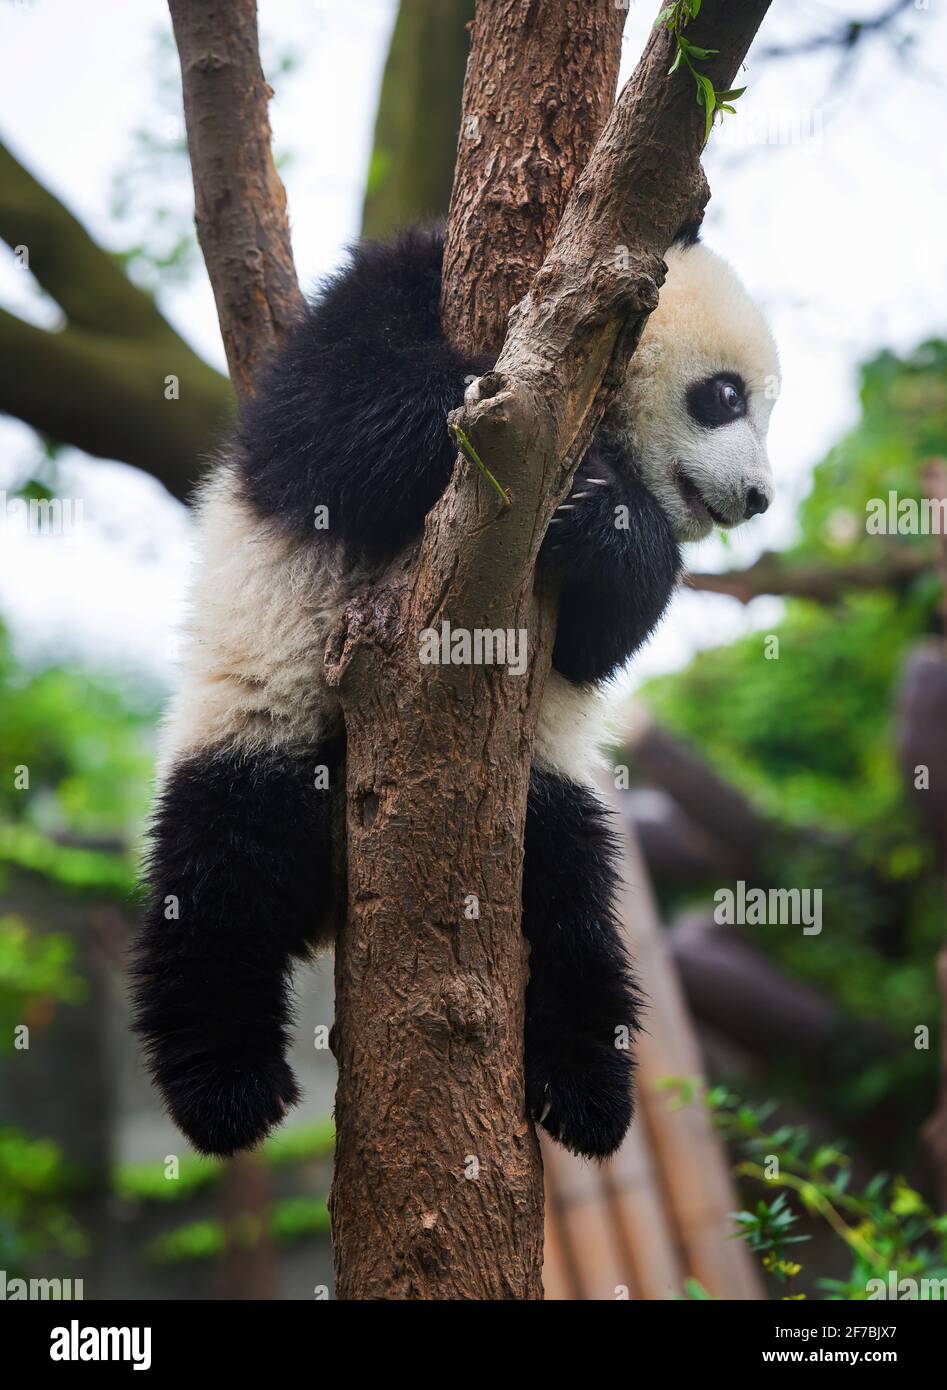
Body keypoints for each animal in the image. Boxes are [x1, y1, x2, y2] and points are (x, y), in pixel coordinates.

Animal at [131, 224, 779, 1162]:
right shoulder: (377, 296)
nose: (759, 498)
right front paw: (577, 468)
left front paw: (604, 517)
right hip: (256, 718)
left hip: (541, 797)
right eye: (724, 396)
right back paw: (225, 1091)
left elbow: (600, 639)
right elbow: (352, 418)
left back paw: (585, 1092)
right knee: (218, 879)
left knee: (574, 911)